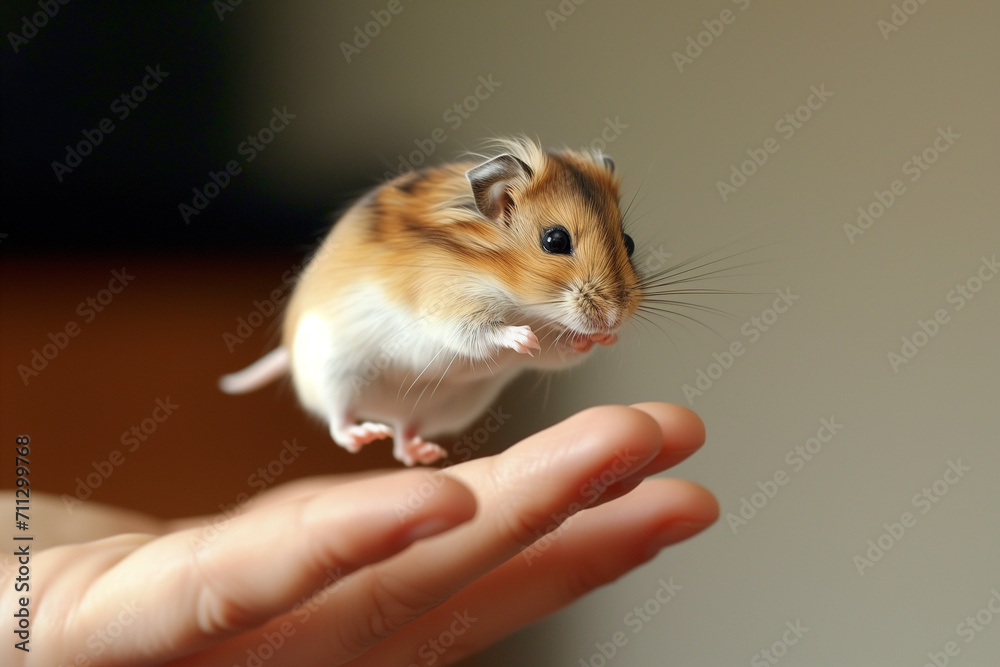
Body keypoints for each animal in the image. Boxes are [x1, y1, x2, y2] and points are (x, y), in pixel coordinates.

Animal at [220, 136, 641, 466]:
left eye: (629, 242)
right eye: (555, 240)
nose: (614, 319)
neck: (517, 297)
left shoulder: (551, 344)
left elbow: (561, 351)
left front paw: (601, 339)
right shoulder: (446, 307)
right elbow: (482, 333)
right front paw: (522, 338)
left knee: (404, 434)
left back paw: (424, 454)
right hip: (334, 374)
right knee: (340, 422)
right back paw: (367, 435)